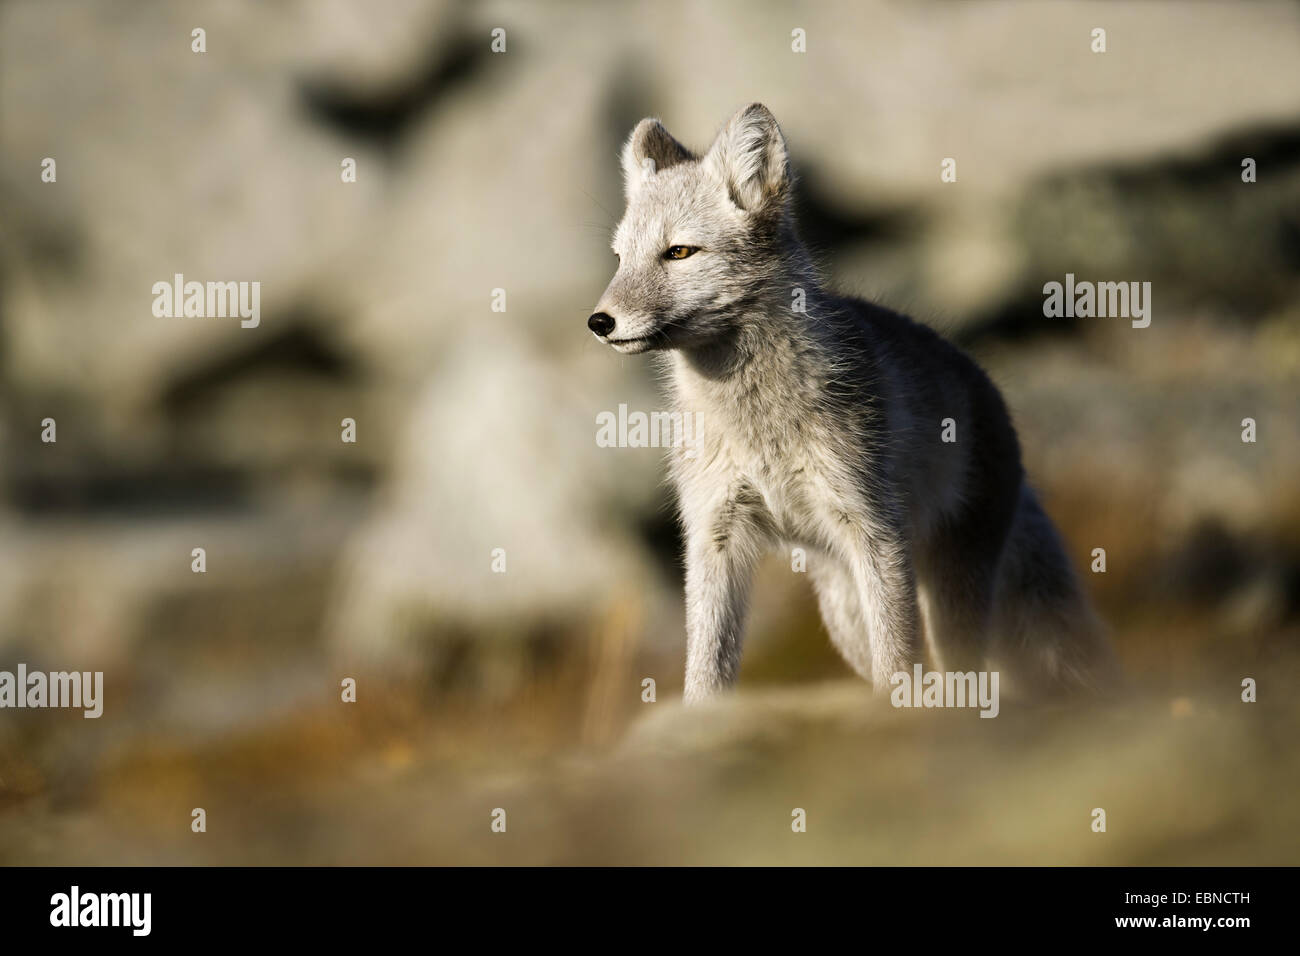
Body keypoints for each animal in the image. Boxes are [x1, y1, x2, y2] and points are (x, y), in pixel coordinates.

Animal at [588, 103, 1118, 703]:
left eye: (678, 251)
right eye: (619, 258)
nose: (598, 322)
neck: (759, 427)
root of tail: (984, 383)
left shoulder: (874, 530)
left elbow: (899, 667)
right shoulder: (714, 537)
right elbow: (705, 675)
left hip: (945, 599)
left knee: (955, 676)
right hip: (843, 614)